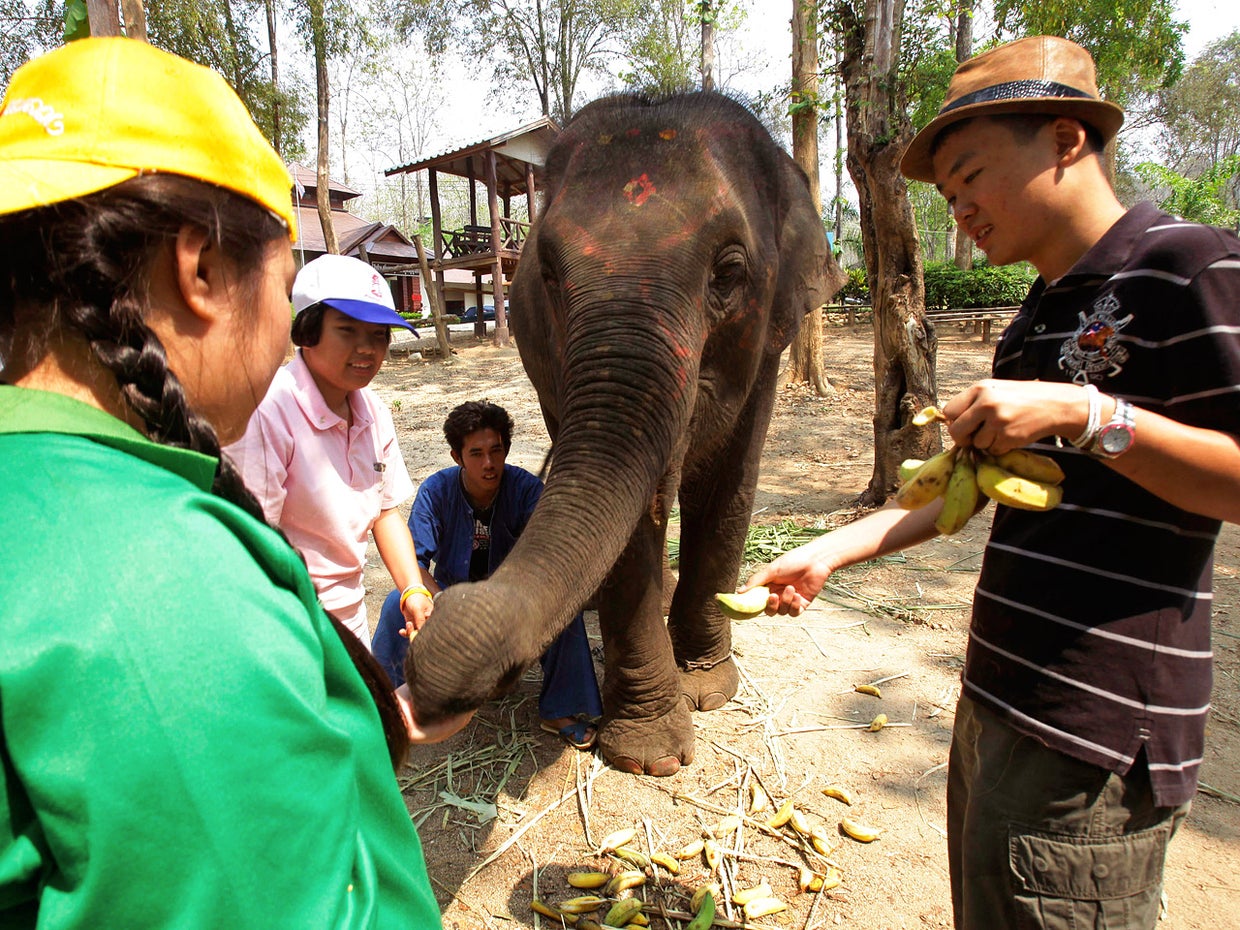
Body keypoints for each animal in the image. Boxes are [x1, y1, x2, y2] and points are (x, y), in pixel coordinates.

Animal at [404, 91, 846, 775]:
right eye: (548, 274)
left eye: (728, 271)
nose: (436, 624)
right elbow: (632, 519)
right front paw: (651, 756)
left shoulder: (766, 345)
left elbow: (728, 483)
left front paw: (708, 691)